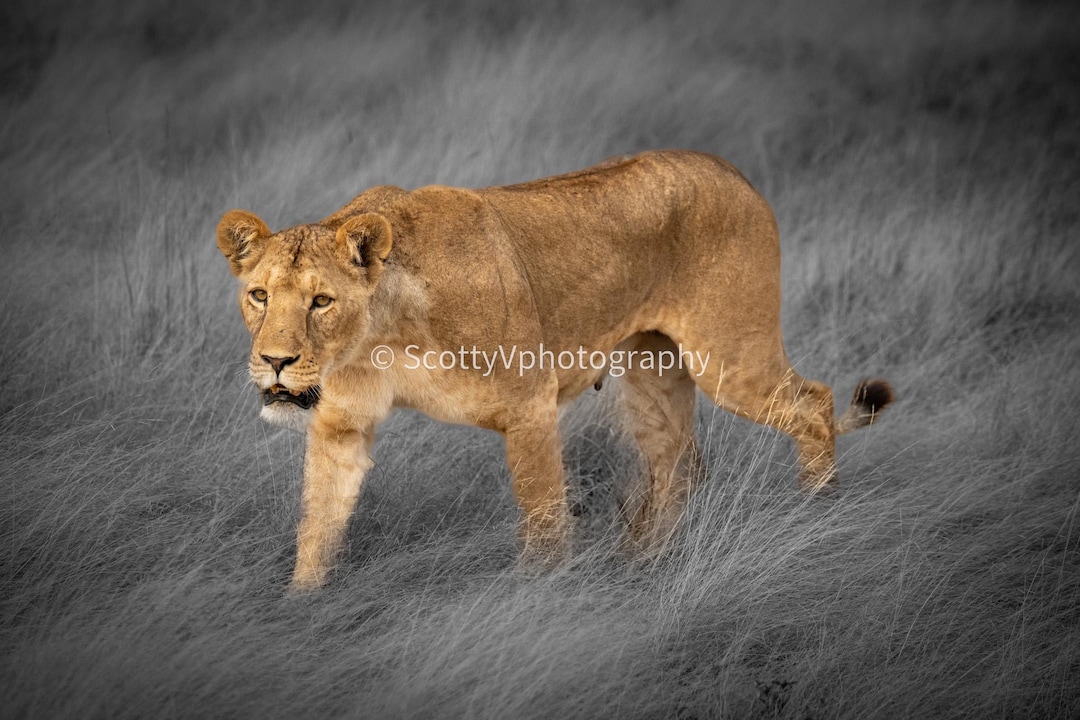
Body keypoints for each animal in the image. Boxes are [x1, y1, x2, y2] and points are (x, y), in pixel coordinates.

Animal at [216, 149, 893, 591]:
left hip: (727, 357)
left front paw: (536, 601)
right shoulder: (340, 428)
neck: (377, 337)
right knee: (680, 461)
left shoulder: (529, 406)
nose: (275, 361)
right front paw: (302, 610)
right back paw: (649, 564)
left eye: (320, 302)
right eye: (259, 296)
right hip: (653, 372)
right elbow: (318, 526)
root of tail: (733, 170)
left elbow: (543, 524)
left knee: (814, 403)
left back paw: (817, 510)